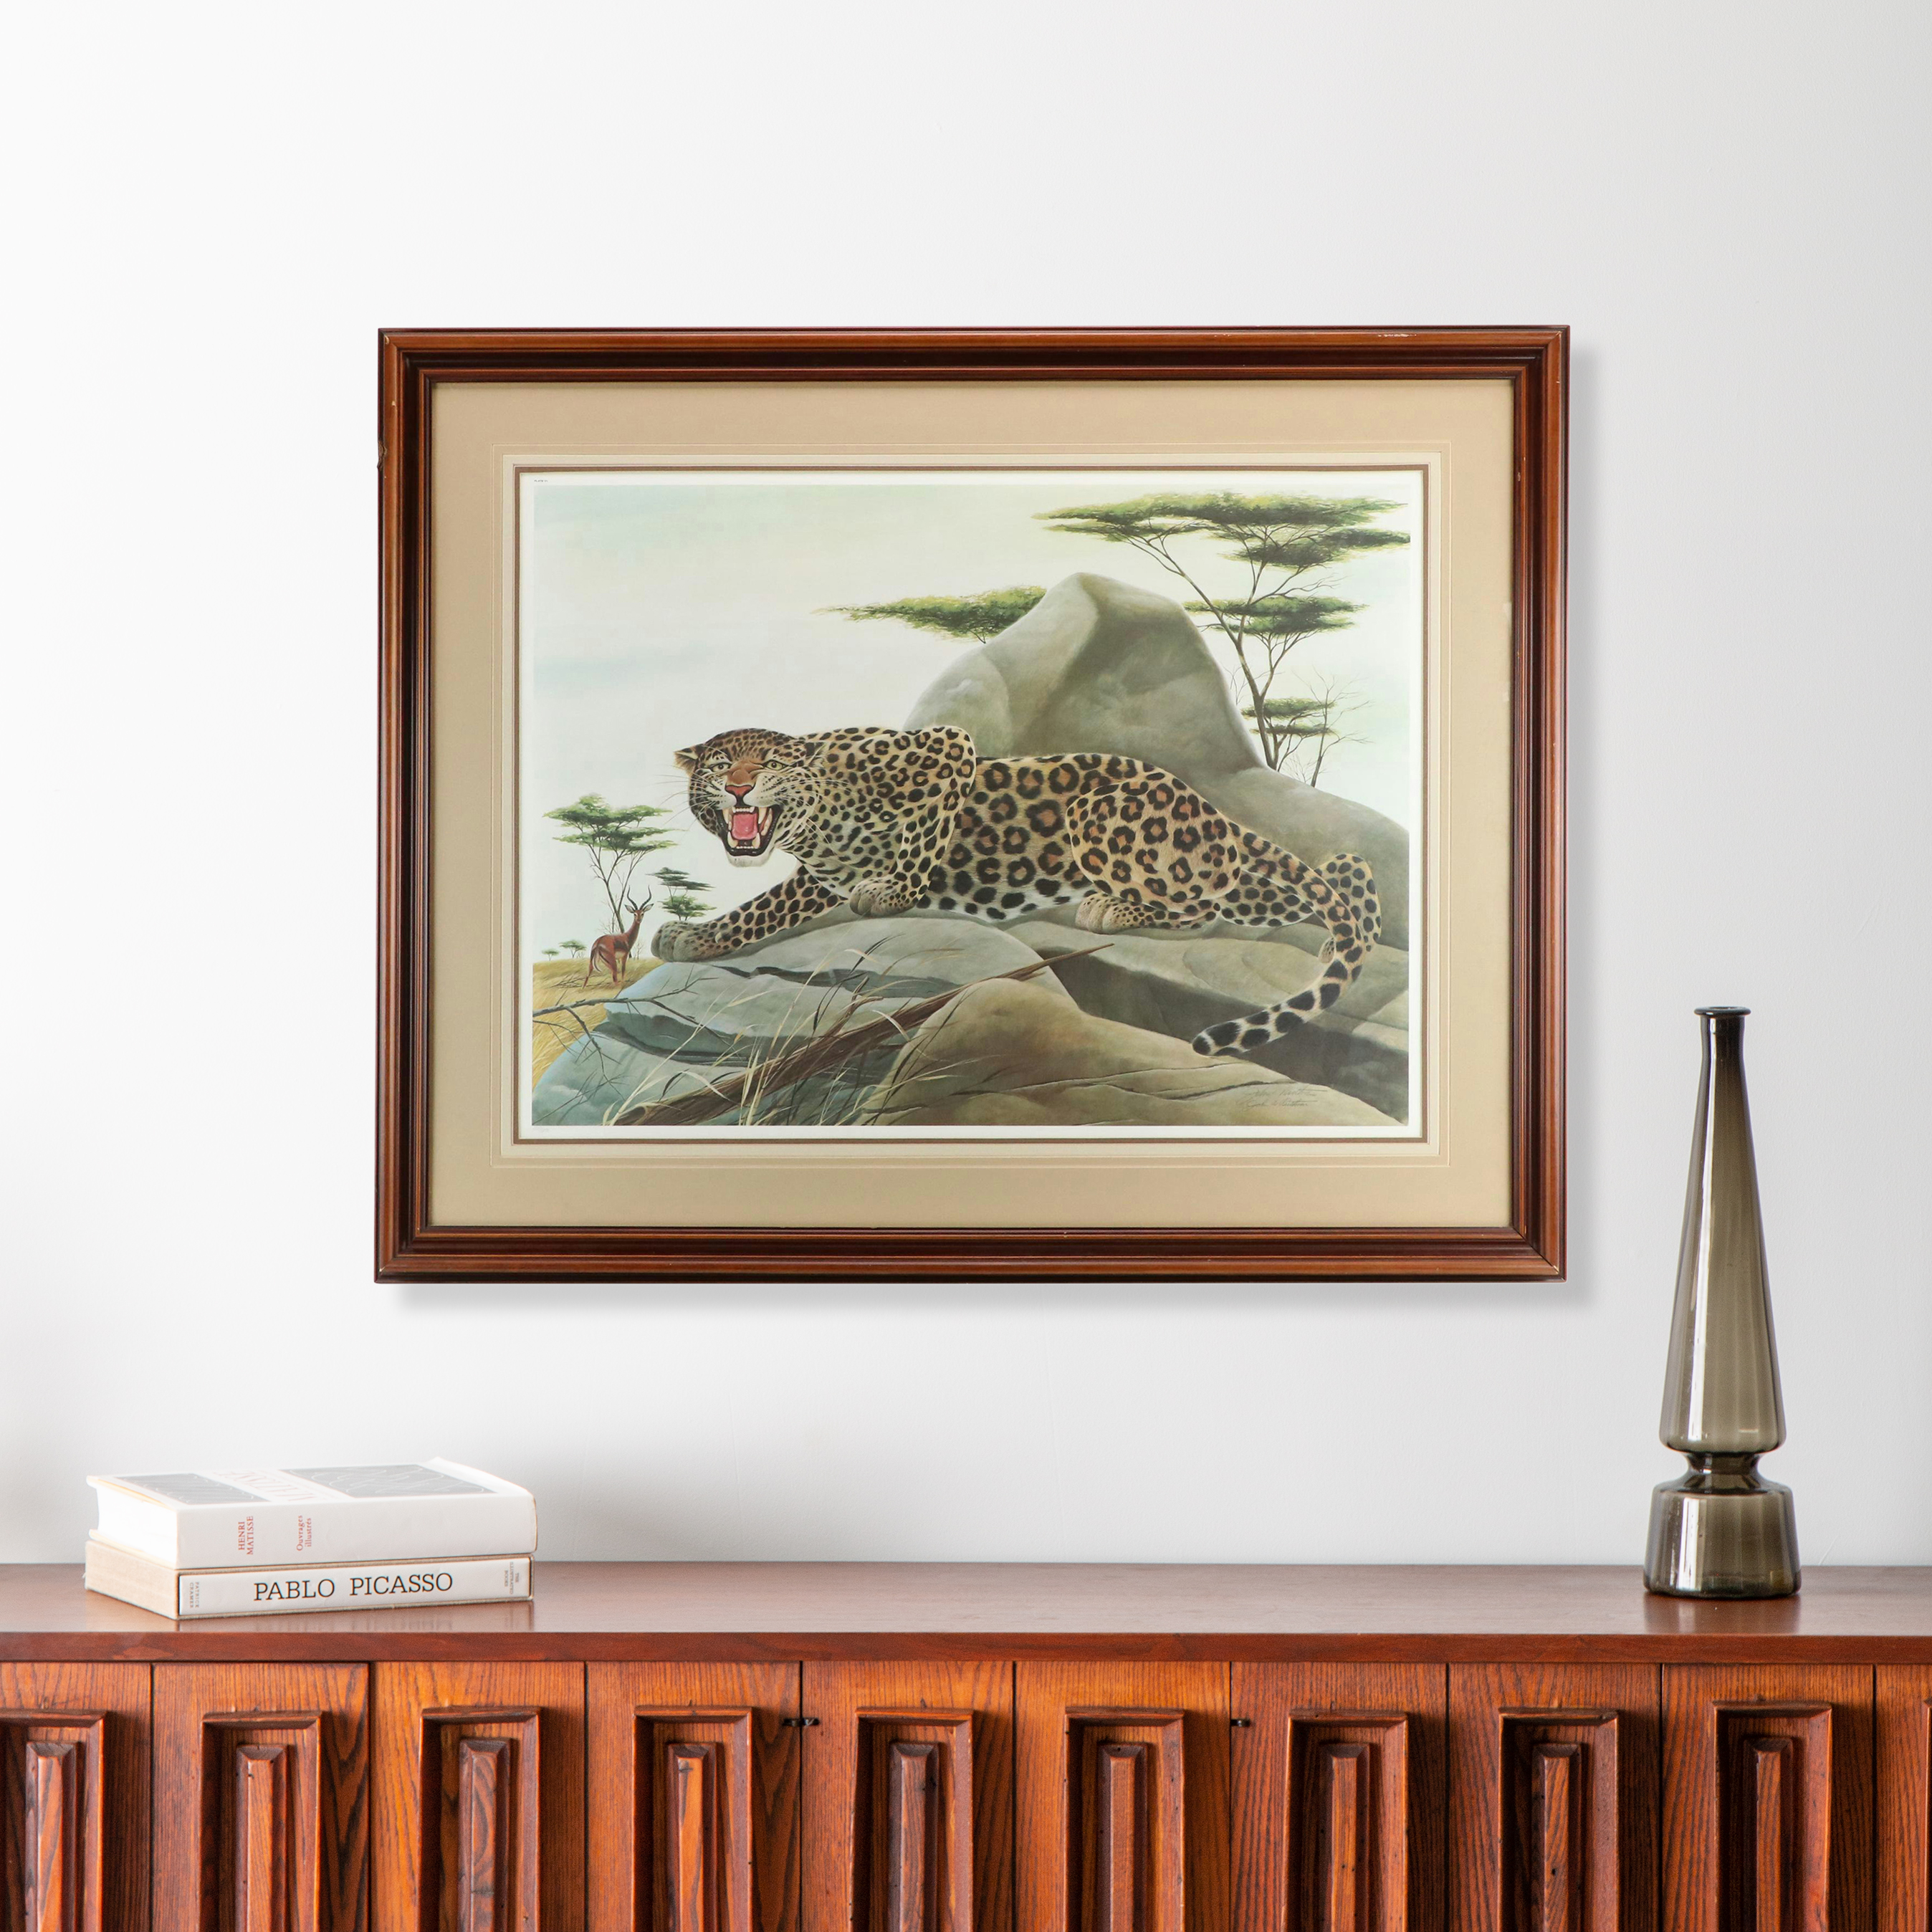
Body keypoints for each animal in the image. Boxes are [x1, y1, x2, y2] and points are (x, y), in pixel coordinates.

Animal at [655, 724, 1382, 1057]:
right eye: (719, 766)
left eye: (767, 763)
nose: (740, 788)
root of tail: (1207, 805)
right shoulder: (820, 868)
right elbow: (769, 904)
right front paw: (696, 935)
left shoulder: (944, 747)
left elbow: (928, 823)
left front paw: (895, 890)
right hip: (1221, 872)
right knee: (1309, 881)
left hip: (1103, 816)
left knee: (1200, 902)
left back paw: (1110, 906)